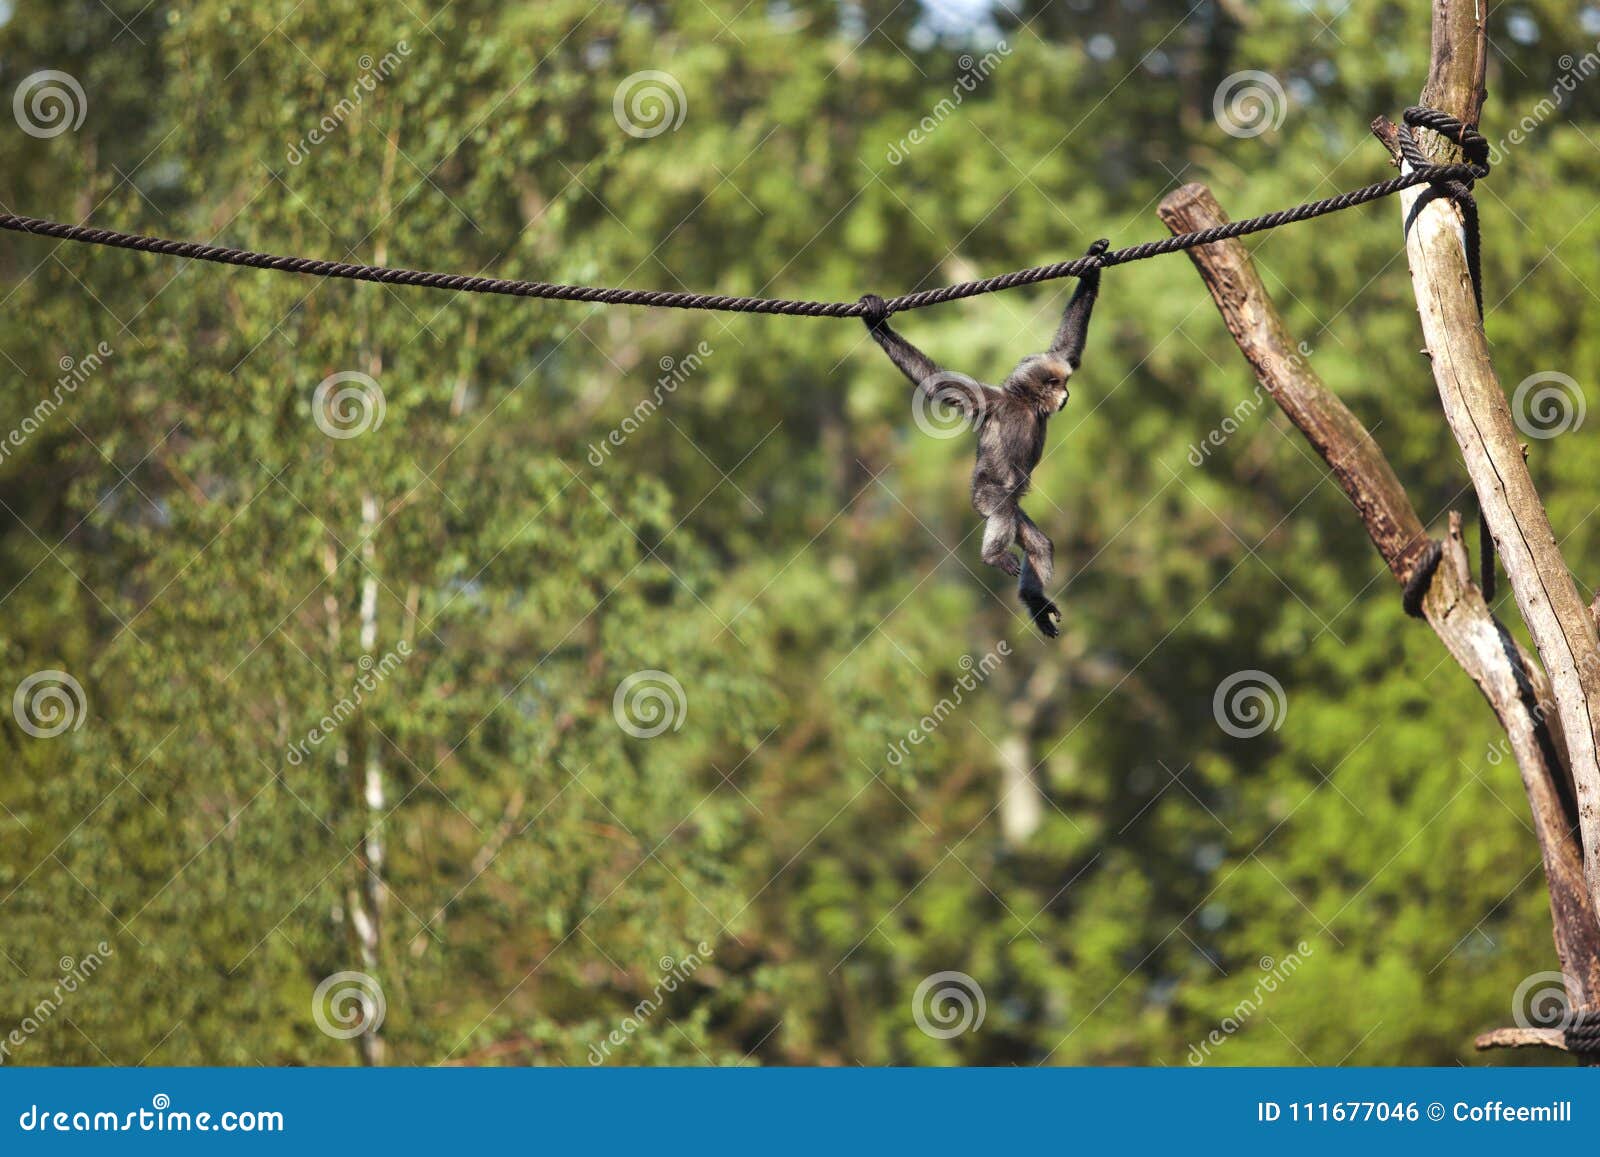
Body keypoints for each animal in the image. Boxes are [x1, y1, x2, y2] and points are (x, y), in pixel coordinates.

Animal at [858, 240, 1108, 639]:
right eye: (1058, 385)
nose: (1067, 395)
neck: (1025, 406)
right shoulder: (992, 403)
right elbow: (938, 384)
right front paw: (877, 322)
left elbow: (1067, 349)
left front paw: (1091, 261)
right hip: (986, 493)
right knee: (1002, 509)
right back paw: (993, 556)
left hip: (1011, 511)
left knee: (1038, 544)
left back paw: (1035, 600)